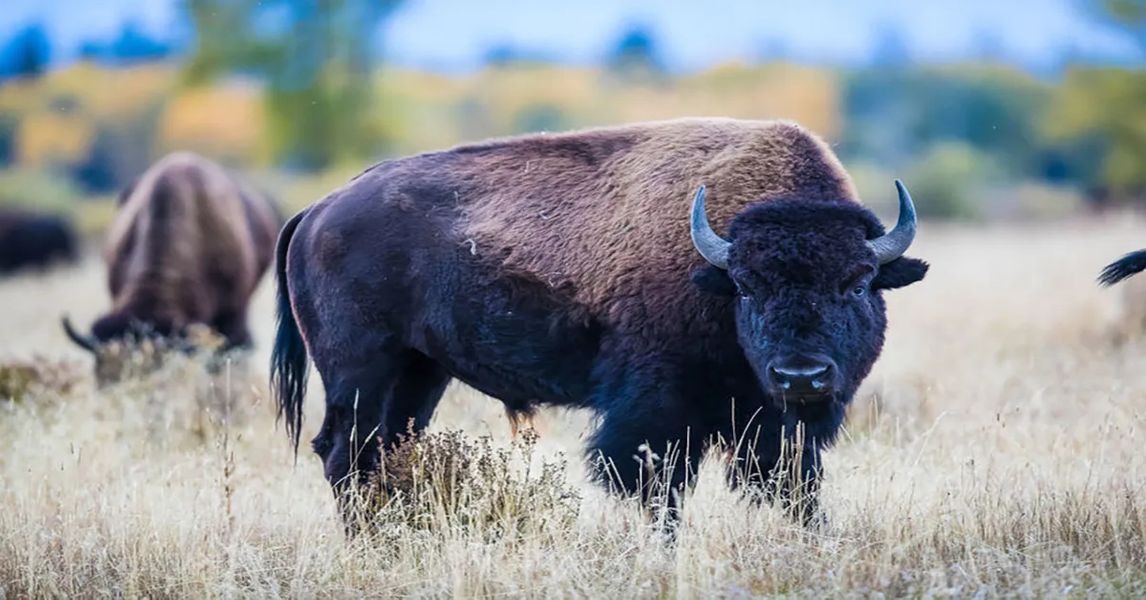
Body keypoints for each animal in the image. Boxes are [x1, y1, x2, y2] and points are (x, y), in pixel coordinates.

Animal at [271, 118, 928, 524]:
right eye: (746, 287)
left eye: (858, 283)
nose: (801, 376)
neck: (710, 267)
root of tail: (319, 209)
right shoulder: (656, 413)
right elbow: (655, 489)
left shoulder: (771, 426)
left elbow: (795, 491)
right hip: (361, 372)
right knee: (344, 457)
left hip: (419, 374)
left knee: (384, 456)